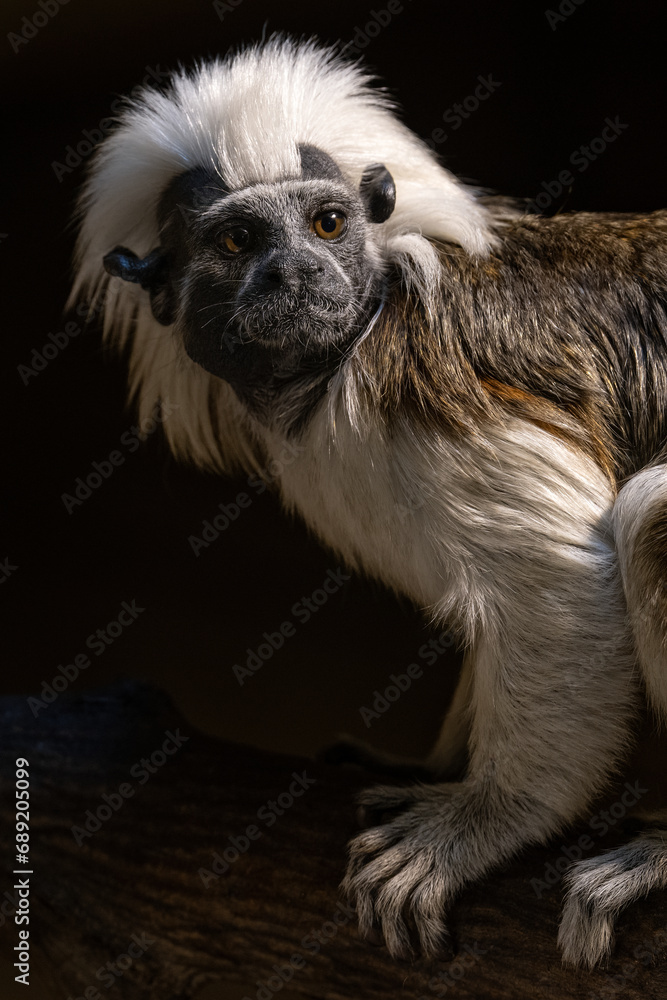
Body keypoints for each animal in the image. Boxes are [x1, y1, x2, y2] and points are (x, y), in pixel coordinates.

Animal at [69, 36, 667, 969]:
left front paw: (486, 819)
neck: (344, 349)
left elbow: (561, 575)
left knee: (648, 518)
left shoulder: (424, 384)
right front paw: (429, 770)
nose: (294, 270)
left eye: (326, 224)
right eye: (236, 240)